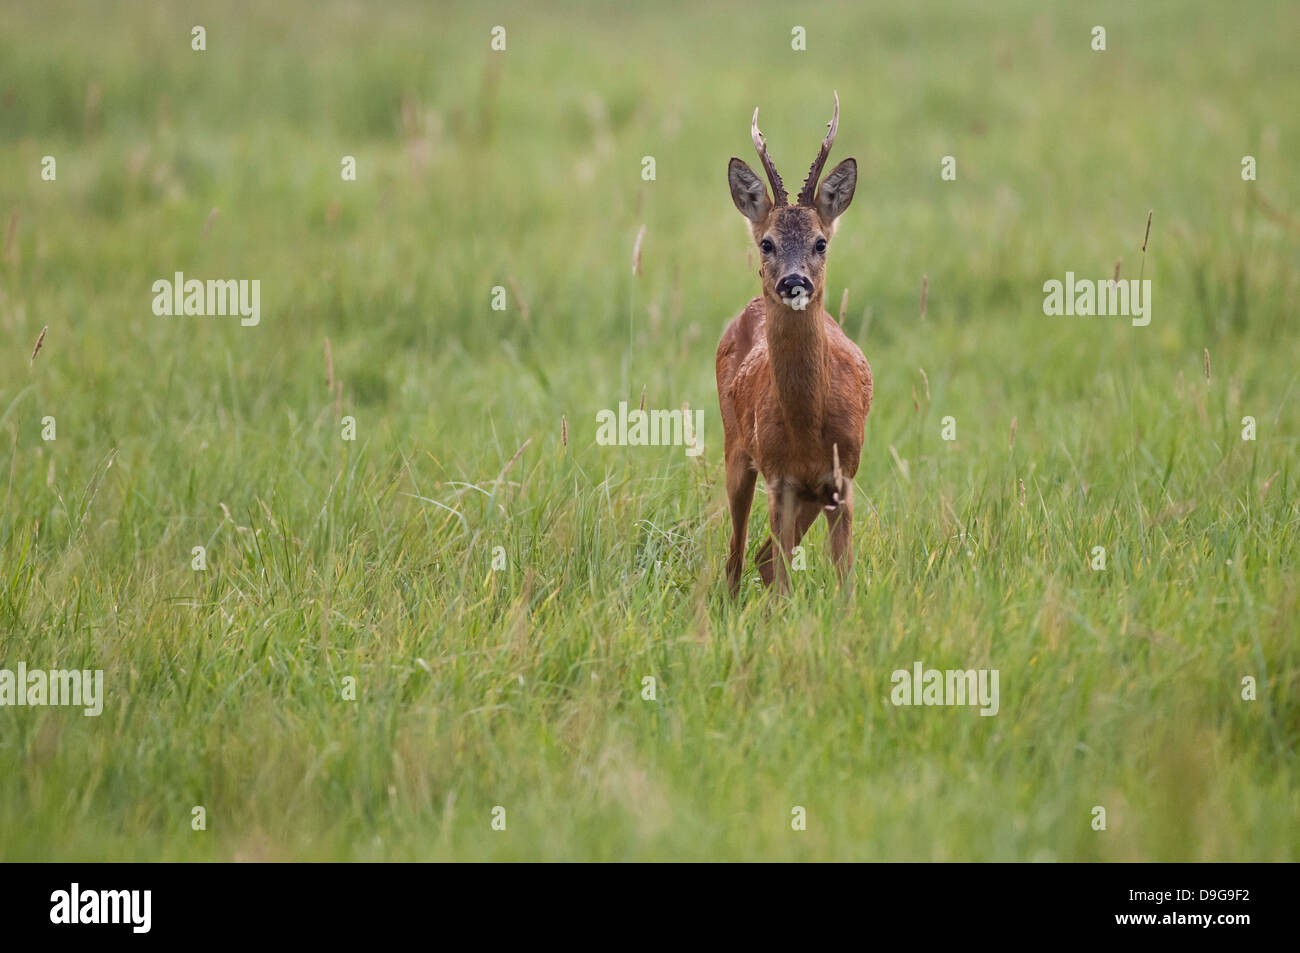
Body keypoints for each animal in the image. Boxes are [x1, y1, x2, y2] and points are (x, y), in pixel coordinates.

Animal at [715, 92, 873, 596]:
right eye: (766, 243)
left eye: (821, 242)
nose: (793, 281)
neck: (809, 427)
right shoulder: (780, 481)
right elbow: (782, 583)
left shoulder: (842, 480)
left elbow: (844, 578)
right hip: (736, 450)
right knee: (738, 554)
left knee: (761, 557)